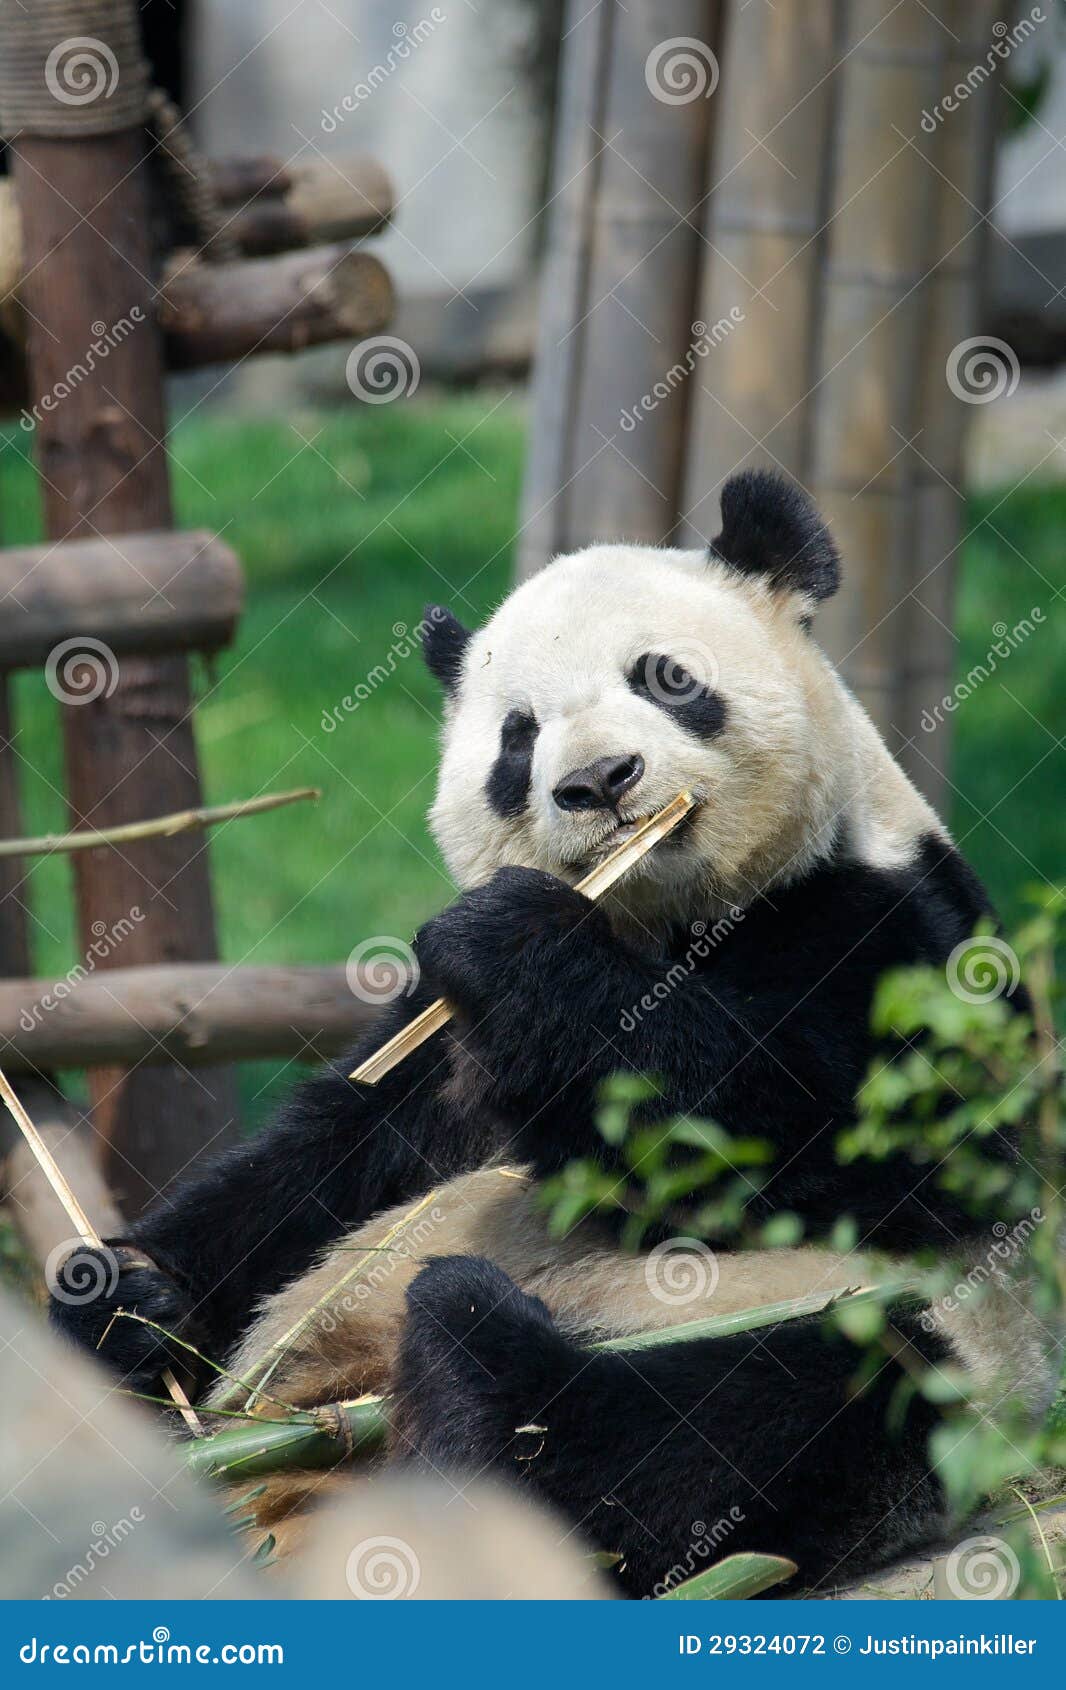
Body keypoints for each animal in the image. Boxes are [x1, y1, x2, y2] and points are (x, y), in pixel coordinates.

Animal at [51, 470, 1056, 1596]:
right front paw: (130, 1297)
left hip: (909, 1342)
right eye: (519, 738)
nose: (600, 781)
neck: (663, 921)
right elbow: (317, 1161)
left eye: (667, 677)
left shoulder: (888, 926)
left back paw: (470, 1361)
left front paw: (520, 945)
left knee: (726, 1421)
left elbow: (859, 1149)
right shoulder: (437, 1047)